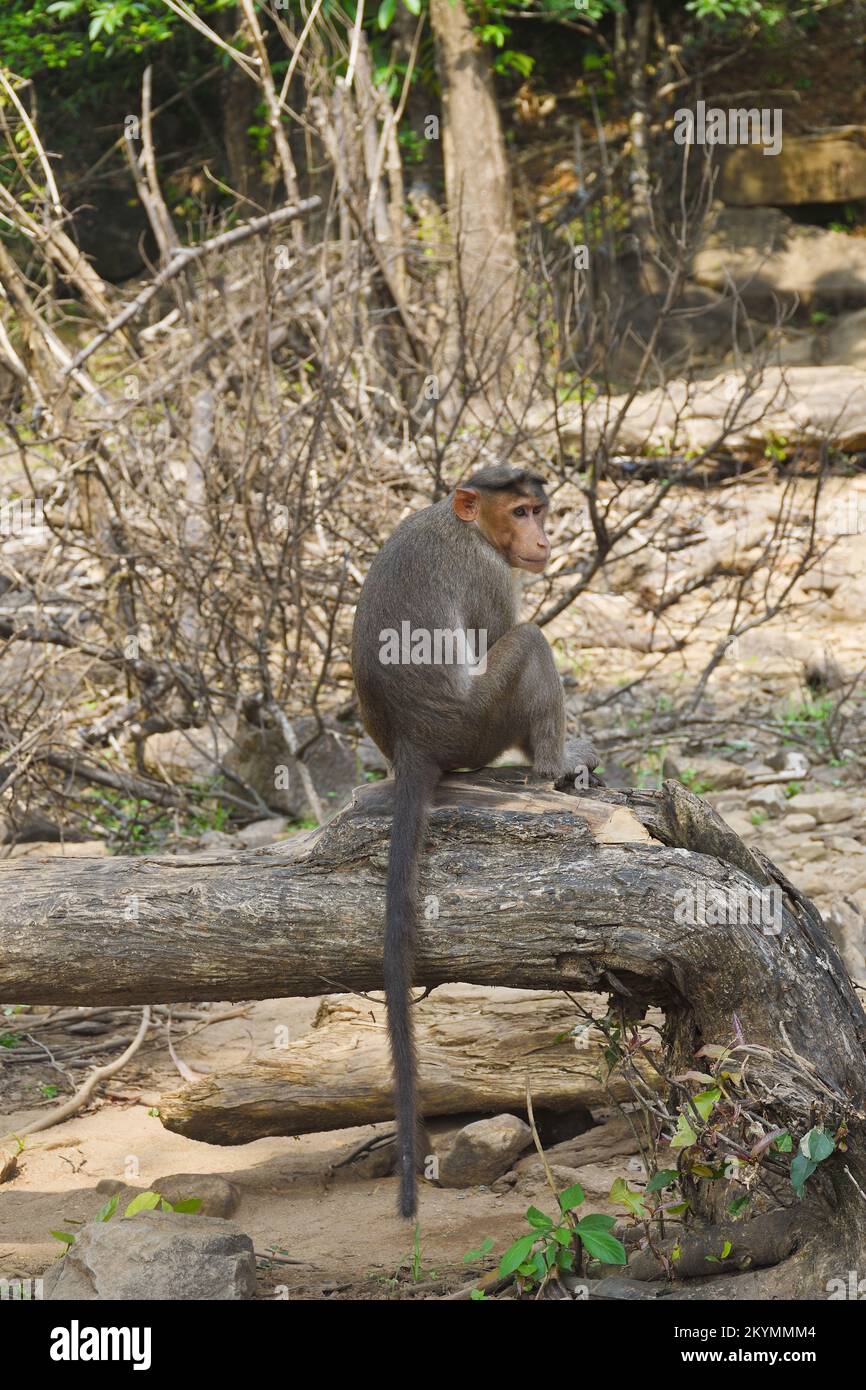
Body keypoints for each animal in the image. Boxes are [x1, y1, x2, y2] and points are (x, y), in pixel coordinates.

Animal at [351, 464, 599, 1218]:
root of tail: (413, 743)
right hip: (477, 722)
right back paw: (552, 769)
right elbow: (508, 628)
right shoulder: (490, 572)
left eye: (538, 509)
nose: (542, 538)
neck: (466, 524)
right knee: (531, 642)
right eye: (519, 512)